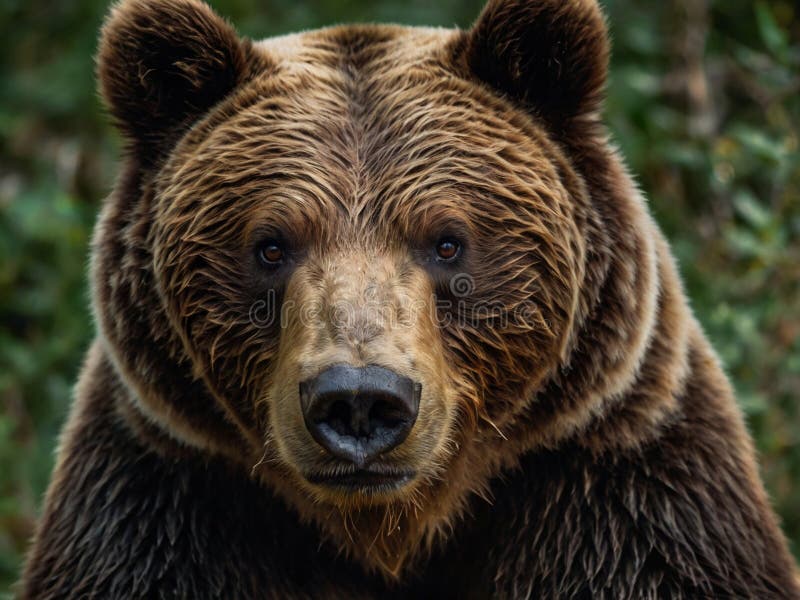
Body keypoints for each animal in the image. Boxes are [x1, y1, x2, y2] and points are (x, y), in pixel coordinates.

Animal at [19, 0, 800, 597]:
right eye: (270, 245)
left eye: (447, 241)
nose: (360, 400)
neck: (390, 532)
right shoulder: (166, 504)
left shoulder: (619, 495)